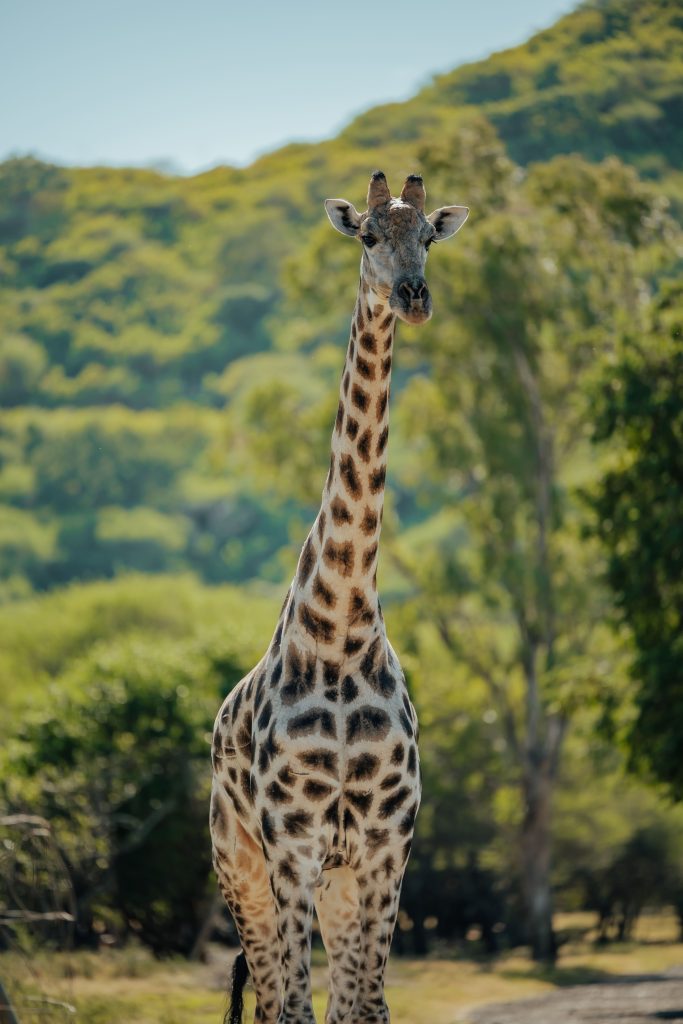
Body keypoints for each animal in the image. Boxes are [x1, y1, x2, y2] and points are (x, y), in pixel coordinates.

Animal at [210, 170, 468, 1024]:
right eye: (367, 236)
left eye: (428, 237)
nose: (413, 297)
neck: (341, 631)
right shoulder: (290, 848)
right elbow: (295, 1007)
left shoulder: (386, 849)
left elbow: (365, 1007)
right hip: (241, 871)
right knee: (268, 1000)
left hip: (338, 882)